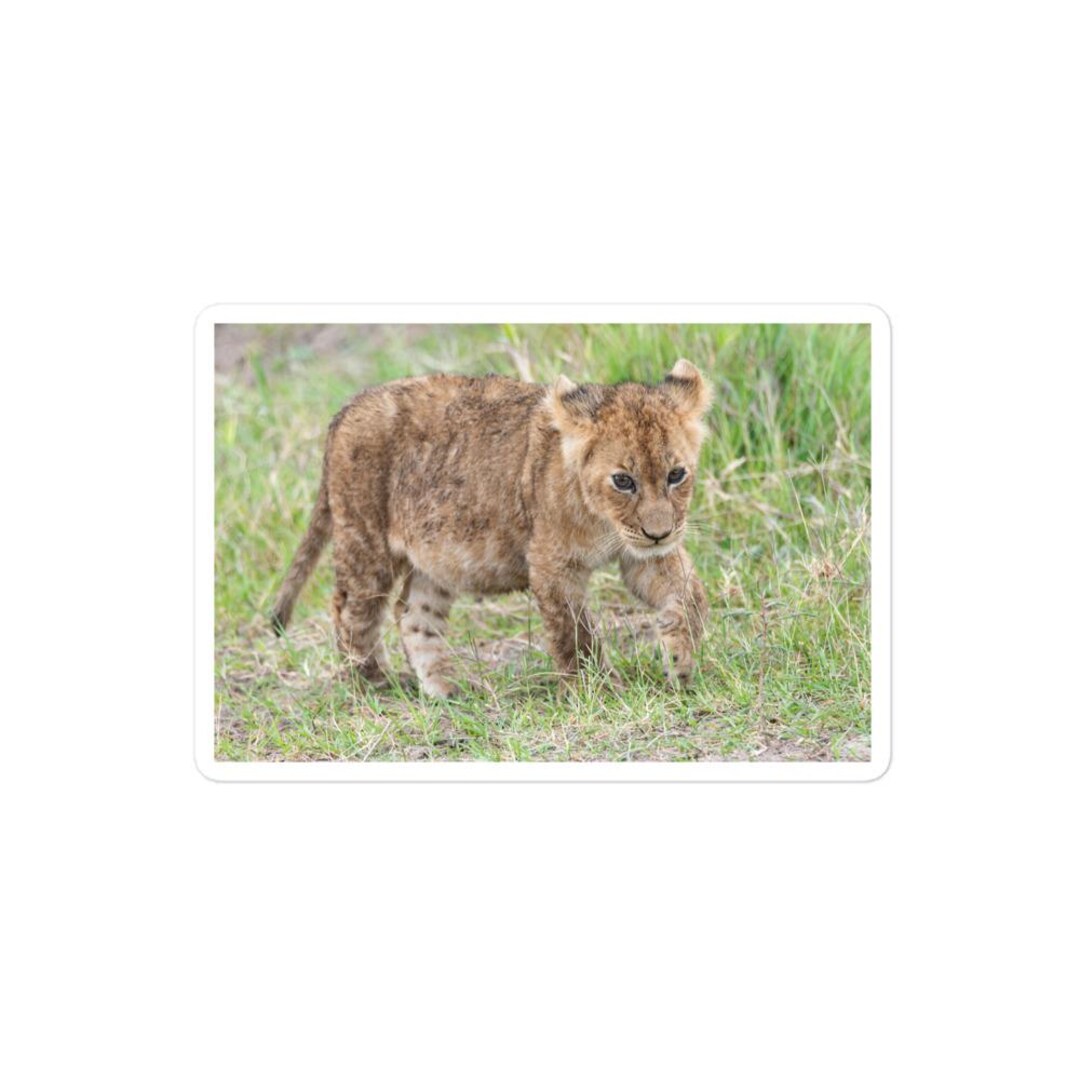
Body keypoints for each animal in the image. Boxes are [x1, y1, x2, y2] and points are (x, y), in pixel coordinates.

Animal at [271, 358, 711, 698]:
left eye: (675, 474)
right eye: (623, 481)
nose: (659, 533)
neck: (602, 520)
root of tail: (346, 409)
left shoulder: (642, 555)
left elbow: (691, 594)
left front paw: (679, 657)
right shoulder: (550, 564)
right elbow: (575, 633)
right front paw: (599, 688)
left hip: (436, 557)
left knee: (412, 615)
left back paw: (445, 690)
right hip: (365, 540)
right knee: (350, 609)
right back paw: (374, 682)